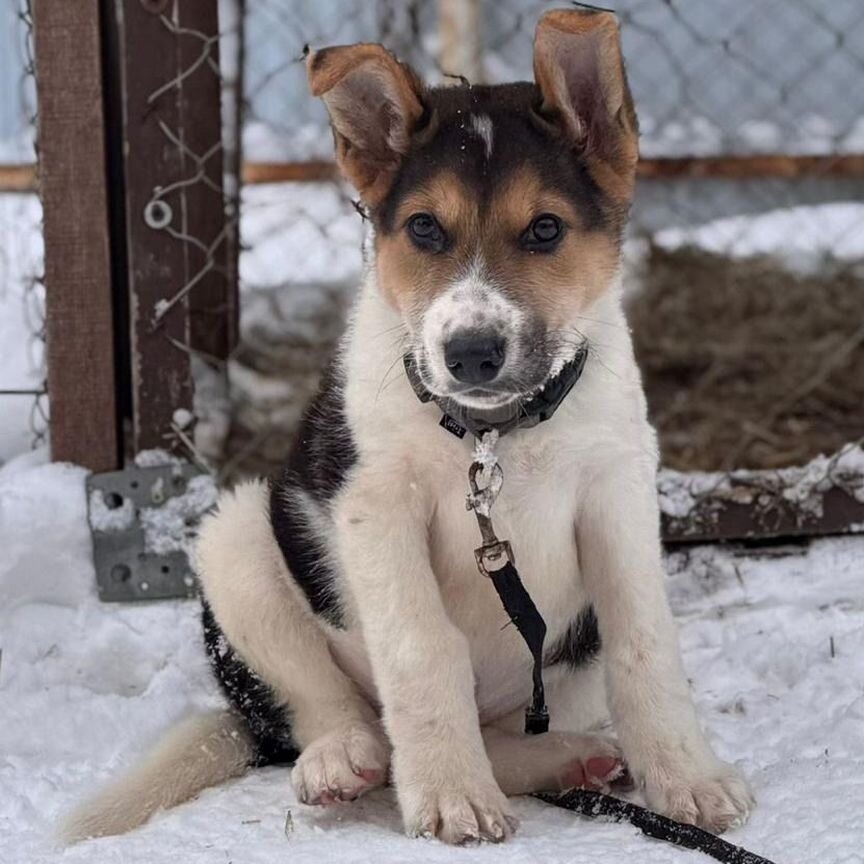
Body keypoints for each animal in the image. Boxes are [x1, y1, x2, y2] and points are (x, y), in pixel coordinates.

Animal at [64, 6, 752, 844]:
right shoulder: (376, 507)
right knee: (330, 710)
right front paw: (451, 794)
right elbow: (422, 650)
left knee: (507, 730)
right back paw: (342, 760)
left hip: (561, 669)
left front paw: (687, 778)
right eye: (424, 229)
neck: (495, 433)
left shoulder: (616, 491)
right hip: (238, 535)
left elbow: (646, 643)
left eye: (546, 230)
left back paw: (565, 758)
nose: (472, 353)